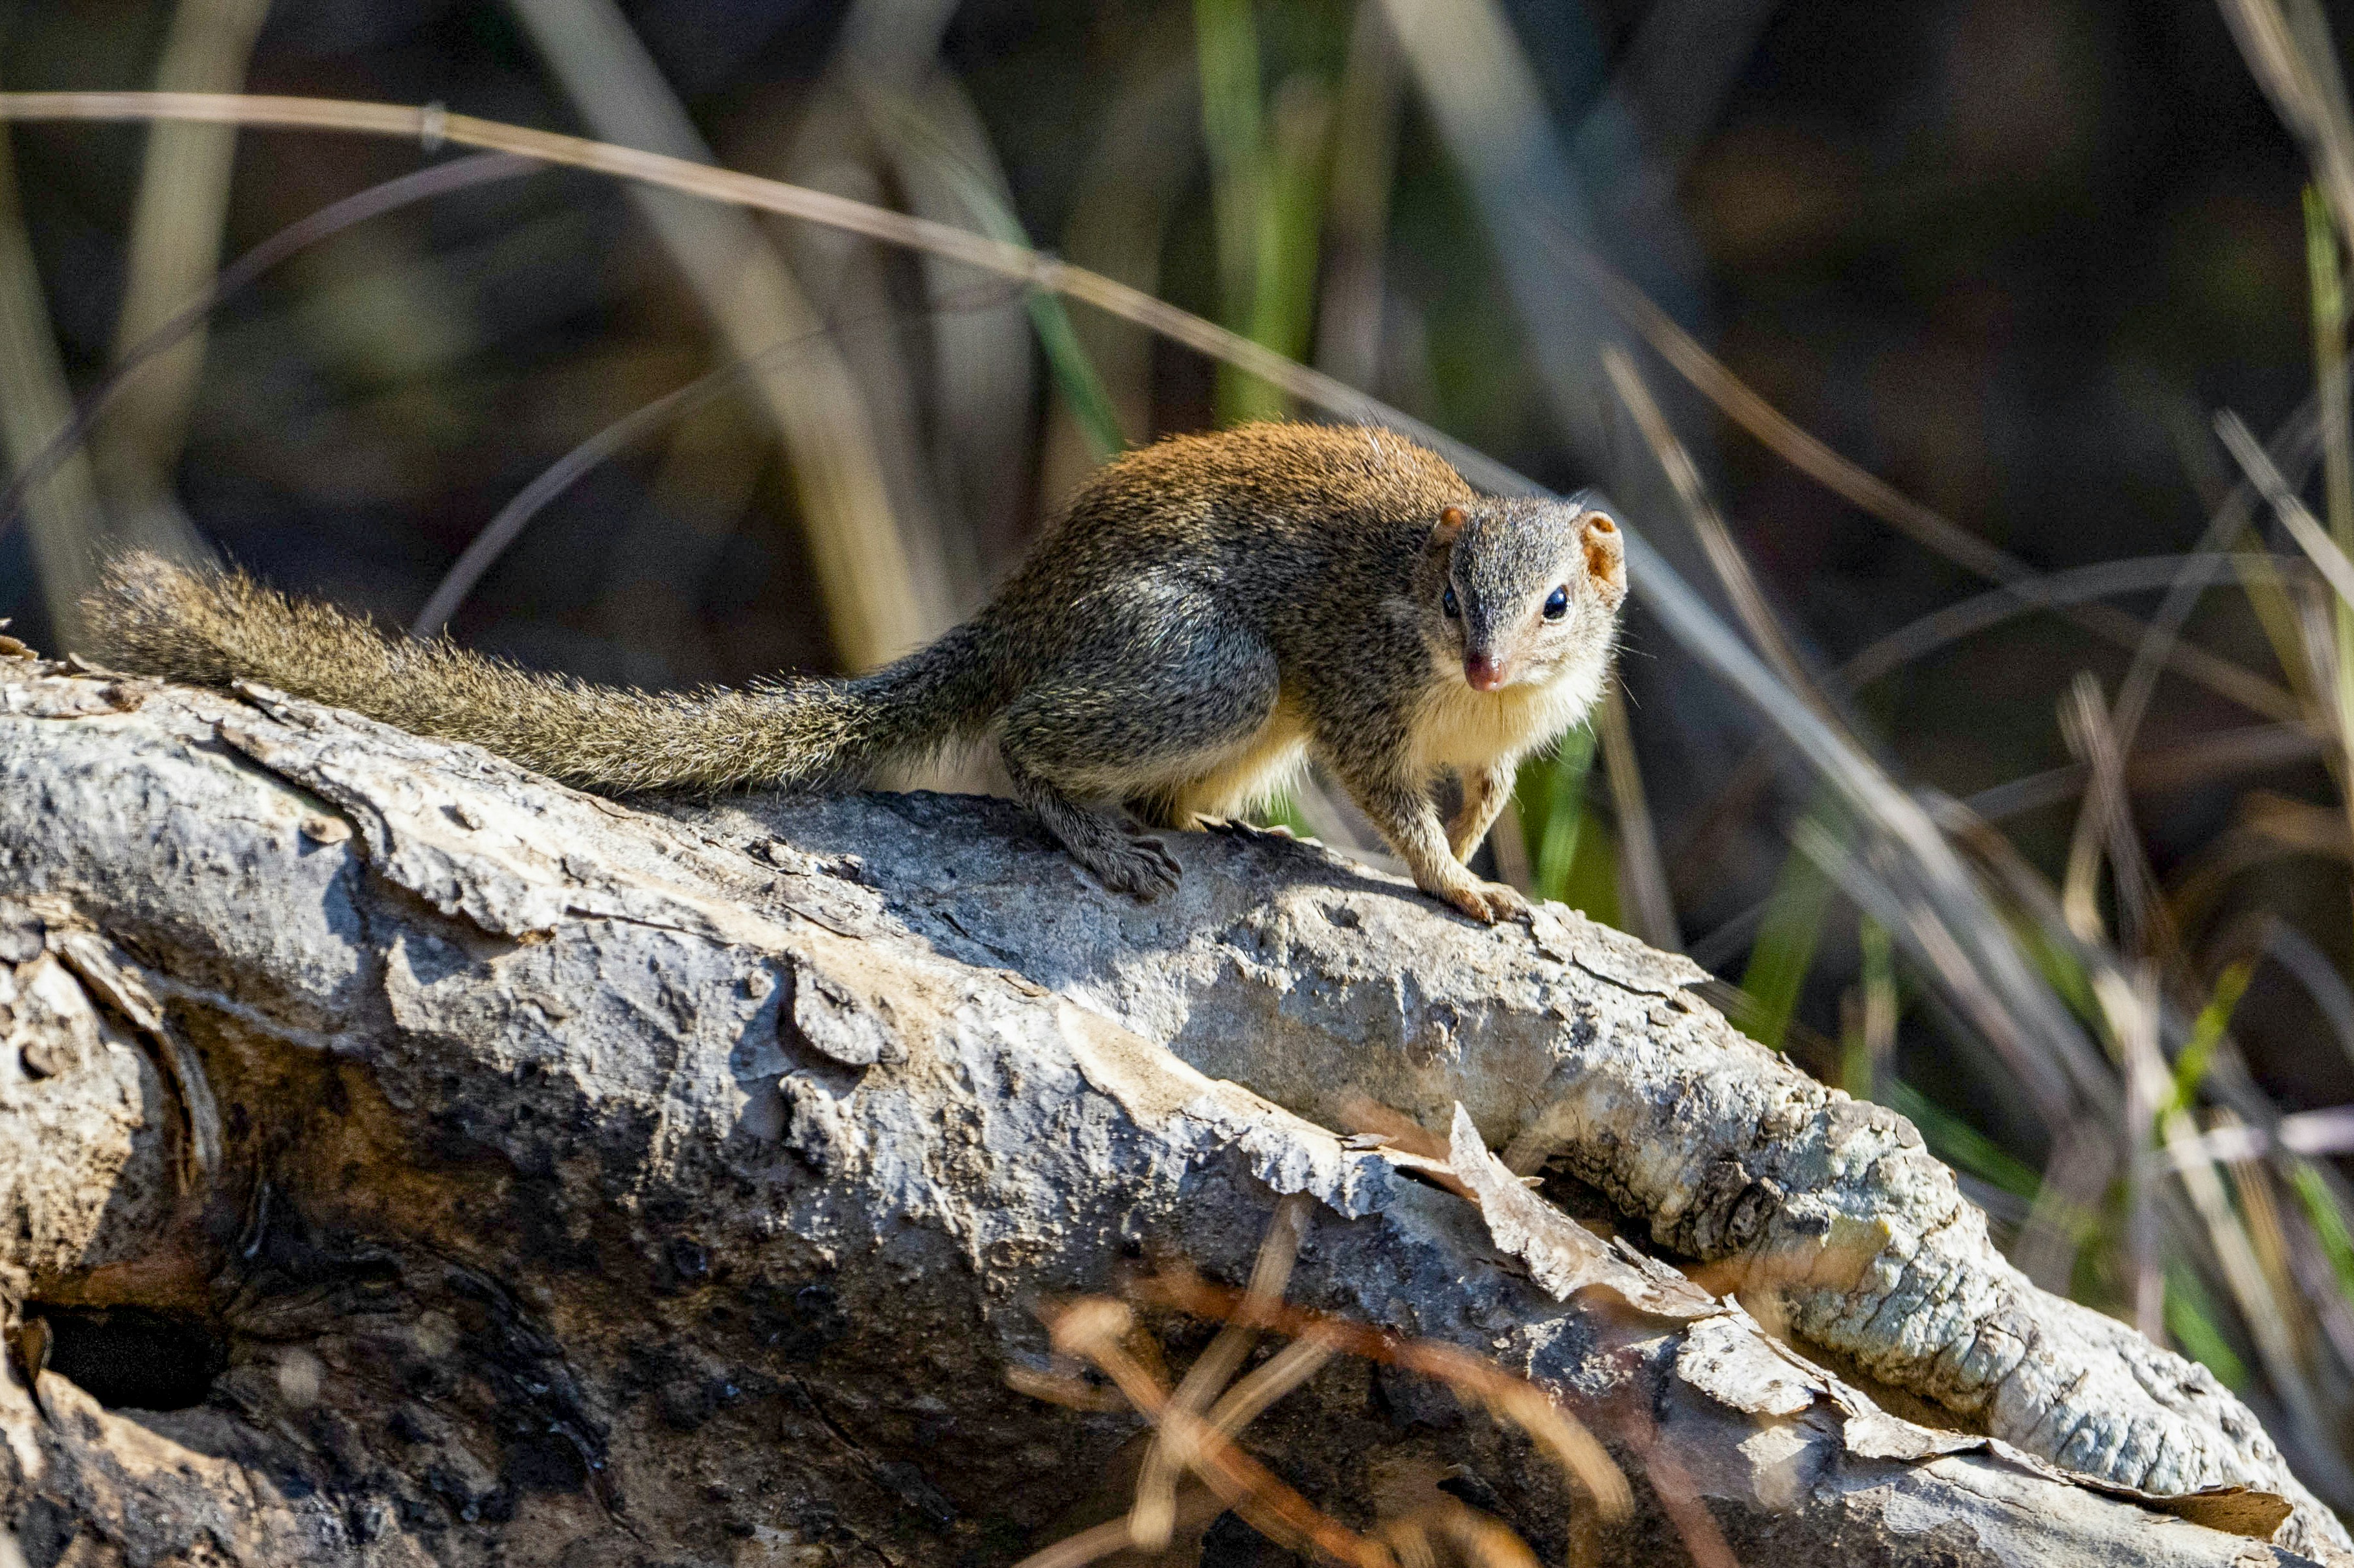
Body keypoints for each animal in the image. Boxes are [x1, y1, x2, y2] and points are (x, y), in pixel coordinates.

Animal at [87, 422, 1626, 923]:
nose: (1482, 652)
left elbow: (1481, 797)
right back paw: (1095, 832)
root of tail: (1019, 609)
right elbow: (1400, 810)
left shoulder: (1501, 742)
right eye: (1448, 594)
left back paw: (1197, 821)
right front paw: (1460, 889)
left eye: (1554, 602)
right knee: (1026, 739)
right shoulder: (1362, 698)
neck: (1469, 696)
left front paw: (1490, 866)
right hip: (1217, 673)